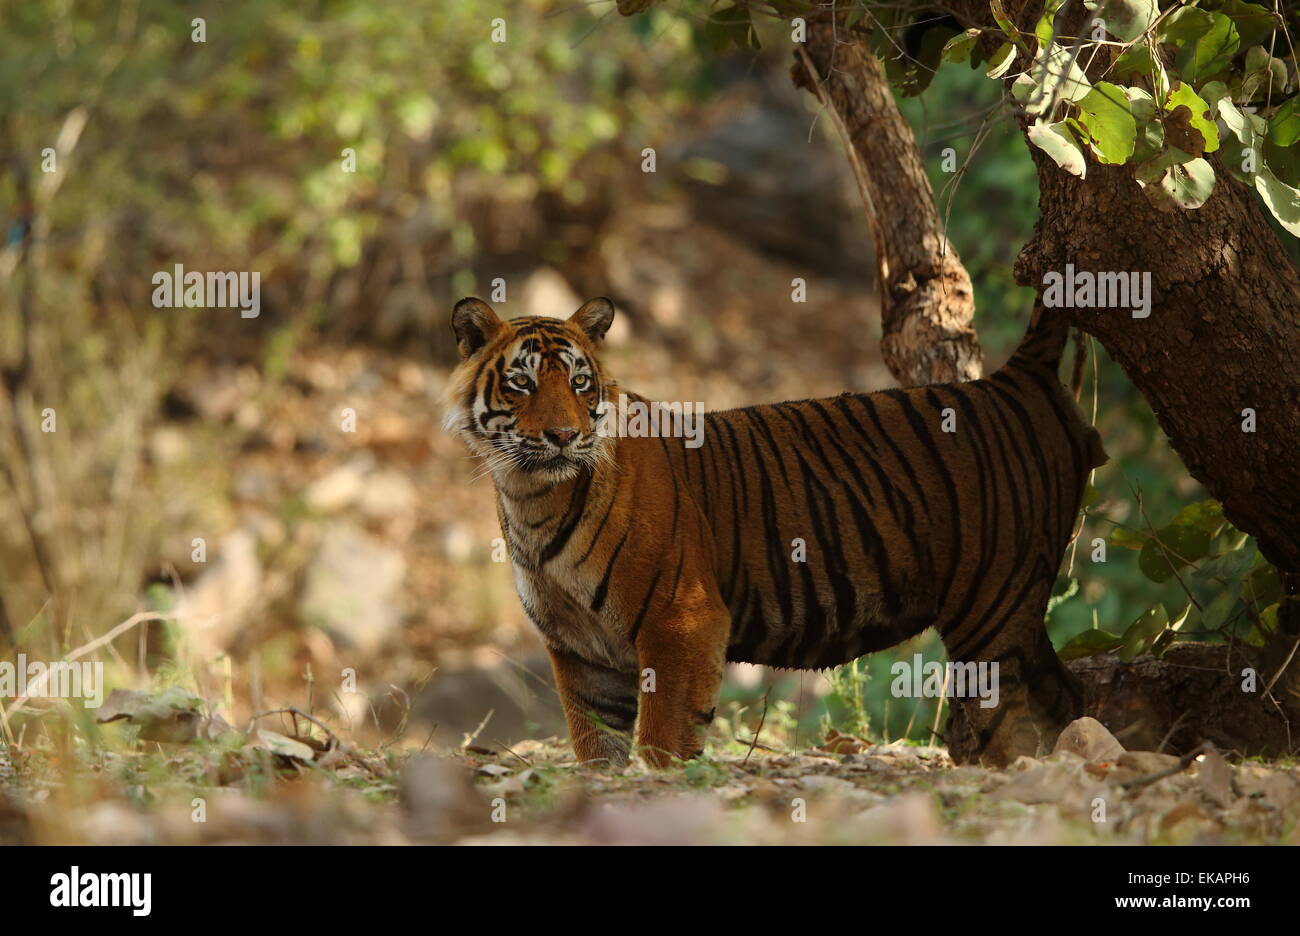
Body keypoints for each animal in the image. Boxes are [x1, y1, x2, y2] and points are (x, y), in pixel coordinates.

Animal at [443, 296, 1107, 767]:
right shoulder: (580, 650)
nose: (564, 436)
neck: (533, 497)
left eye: (580, 383)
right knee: (1069, 701)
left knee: (1008, 728)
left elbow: (661, 740)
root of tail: (1012, 378)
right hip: (1012, 609)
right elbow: (595, 748)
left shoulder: (681, 621)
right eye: (523, 382)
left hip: (989, 610)